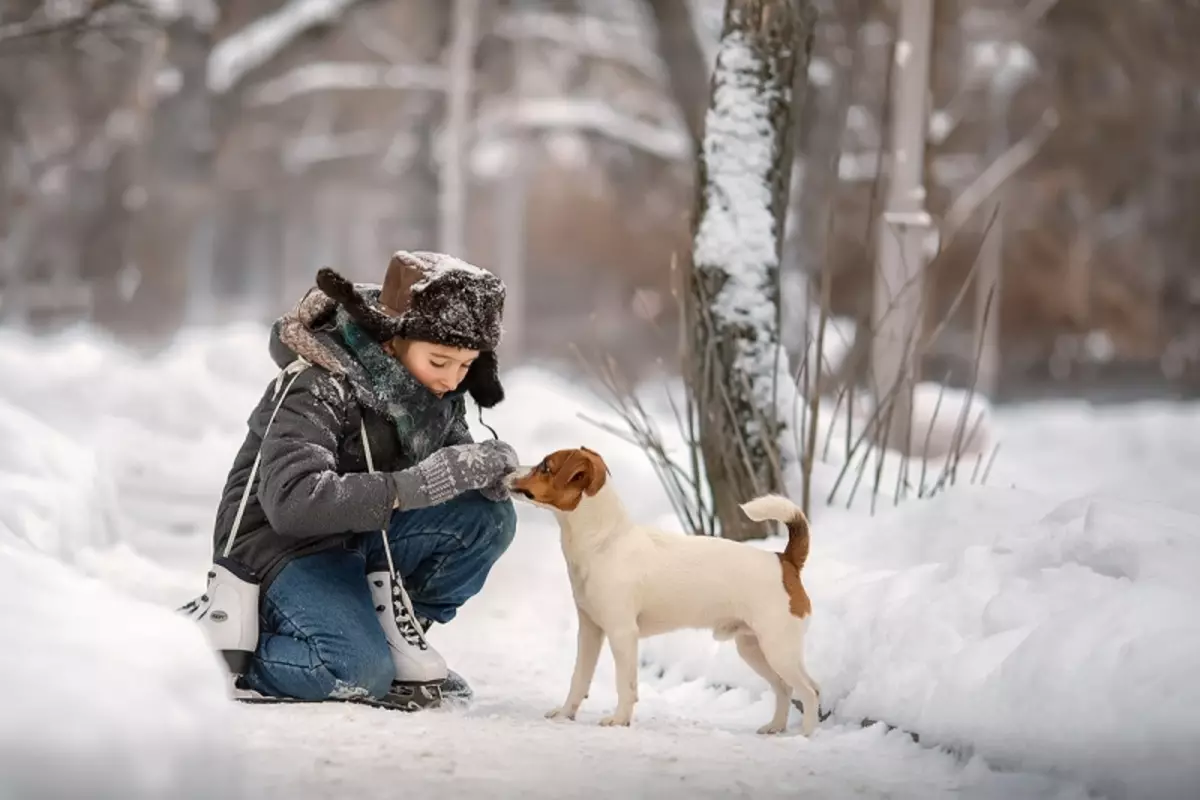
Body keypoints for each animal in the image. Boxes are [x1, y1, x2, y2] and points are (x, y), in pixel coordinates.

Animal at [501, 448, 820, 734]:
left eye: (546, 466)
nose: (508, 470)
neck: (604, 541)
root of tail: (785, 561)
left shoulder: (622, 633)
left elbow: (625, 684)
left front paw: (619, 720)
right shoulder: (590, 631)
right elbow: (579, 679)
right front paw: (565, 714)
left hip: (778, 648)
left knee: (810, 690)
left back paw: (804, 736)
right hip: (753, 648)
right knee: (784, 687)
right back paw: (775, 727)